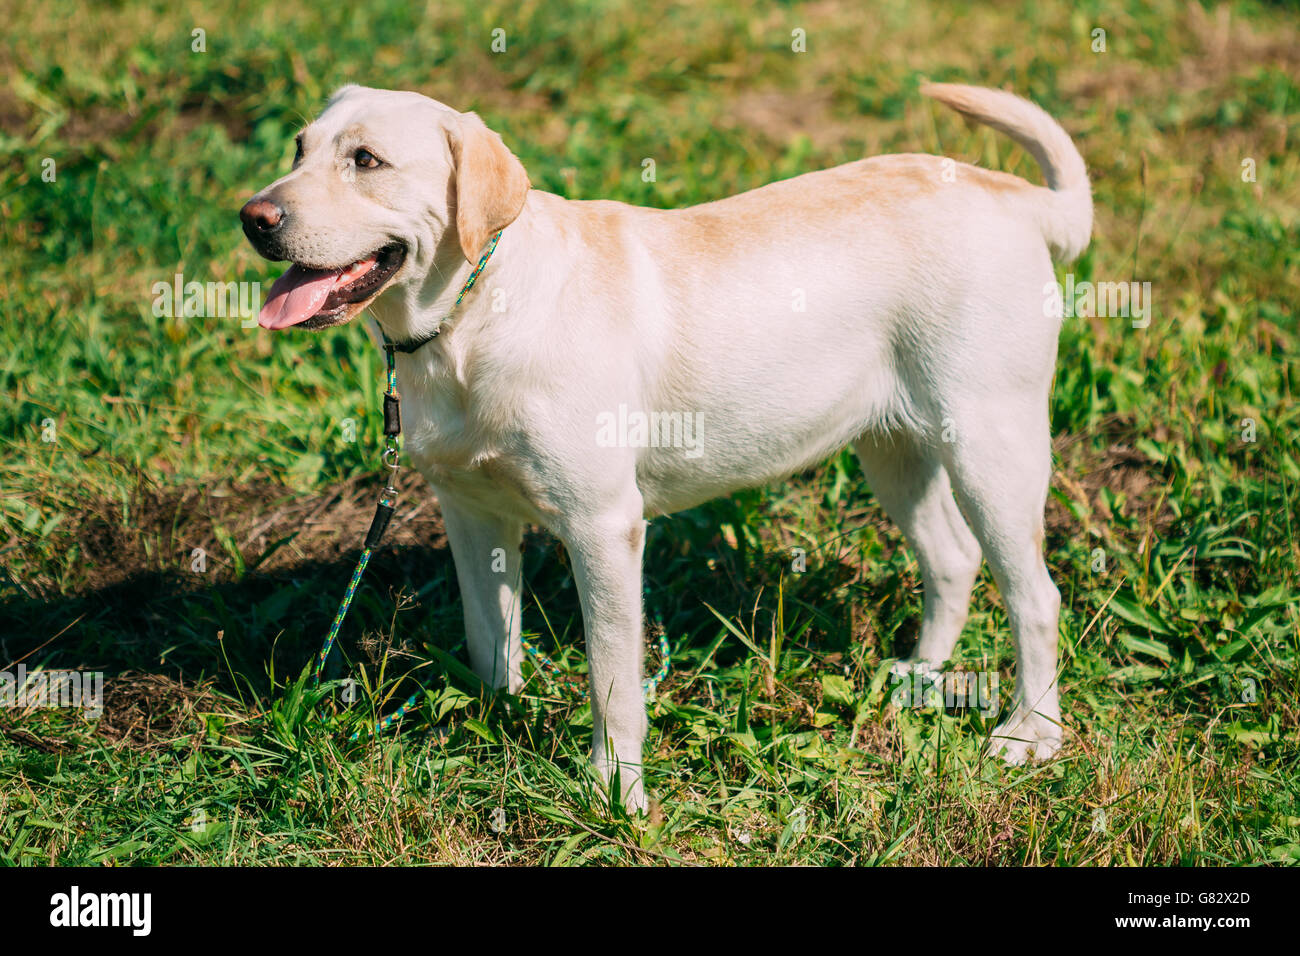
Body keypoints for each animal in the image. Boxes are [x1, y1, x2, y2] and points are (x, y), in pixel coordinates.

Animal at [241, 83, 1086, 816]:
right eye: (298, 146)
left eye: (367, 160)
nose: (253, 216)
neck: (471, 319)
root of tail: (1021, 199)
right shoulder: (472, 515)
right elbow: (490, 640)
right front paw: (498, 720)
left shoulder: (602, 528)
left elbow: (612, 680)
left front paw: (616, 792)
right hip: (894, 447)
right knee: (952, 558)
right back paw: (920, 674)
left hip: (990, 444)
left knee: (1036, 598)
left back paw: (1031, 734)